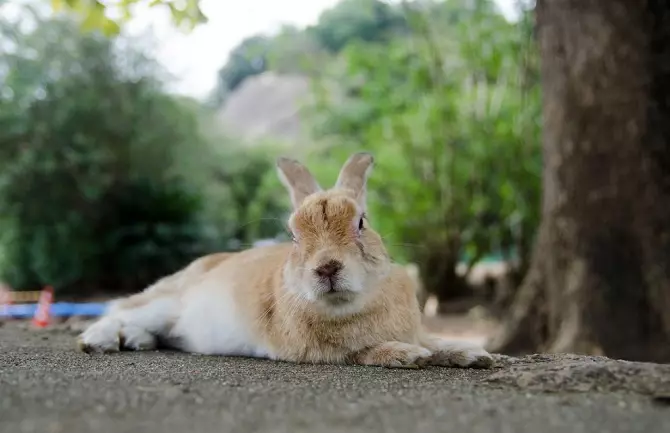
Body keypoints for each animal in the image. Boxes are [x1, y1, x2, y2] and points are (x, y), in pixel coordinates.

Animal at [79, 152, 496, 368]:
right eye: (294, 235)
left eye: (361, 223)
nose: (327, 268)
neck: (353, 303)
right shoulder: (323, 351)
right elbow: (365, 352)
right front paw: (411, 355)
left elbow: (437, 341)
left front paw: (474, 355)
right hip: (167, 302)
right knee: (118, 310)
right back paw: (100, 341)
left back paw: (136, 341)